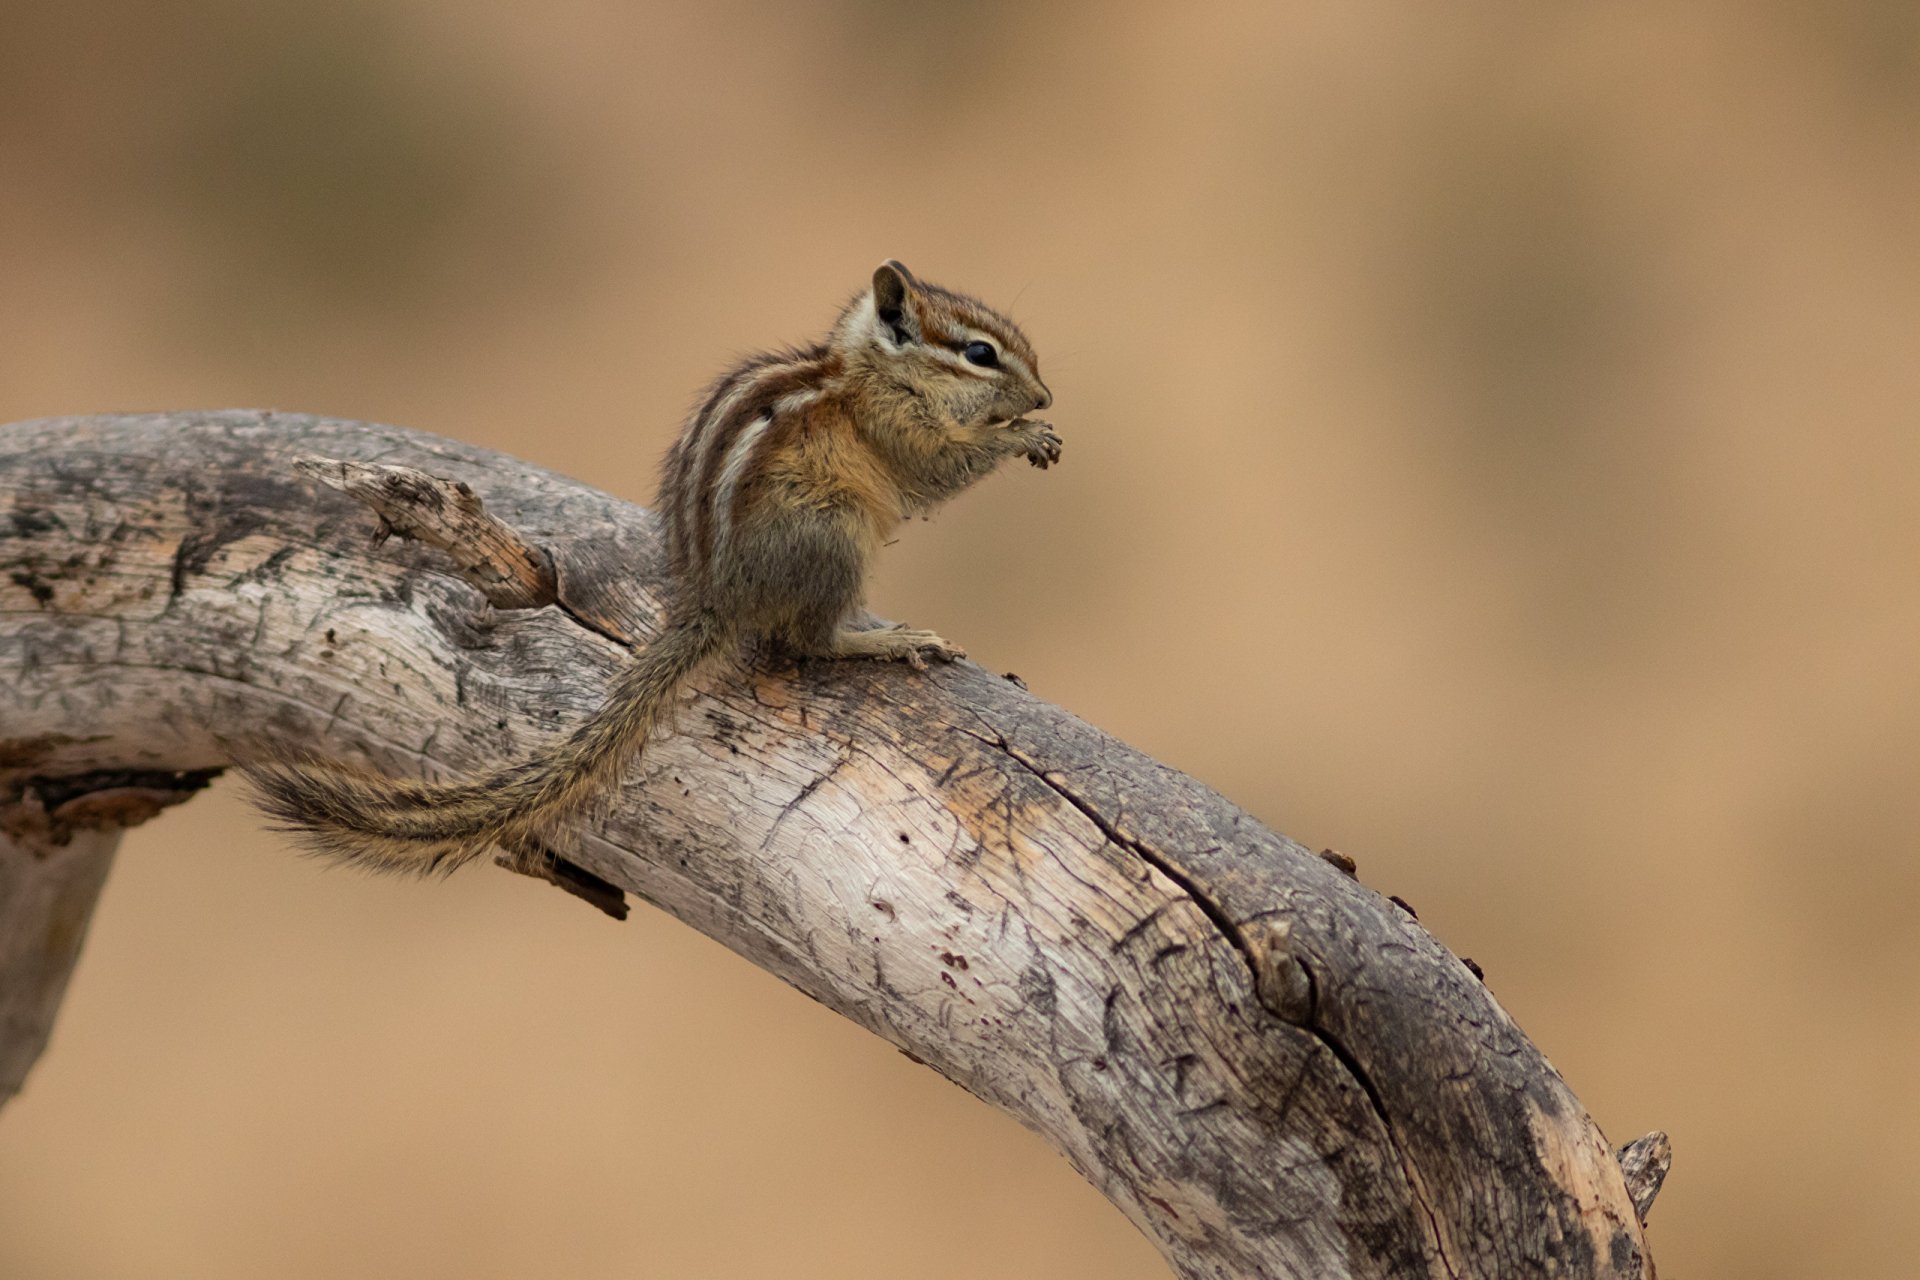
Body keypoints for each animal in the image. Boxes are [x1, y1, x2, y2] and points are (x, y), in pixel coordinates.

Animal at [246, 260, 1059, 875]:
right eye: (980, 354)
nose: (1047, 395)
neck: (866, 370)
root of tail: (712, 600)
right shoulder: (898, 429)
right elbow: (938, 470)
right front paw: (1023, 434)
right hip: (833, 532)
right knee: (806, 642)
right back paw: (888, 639)